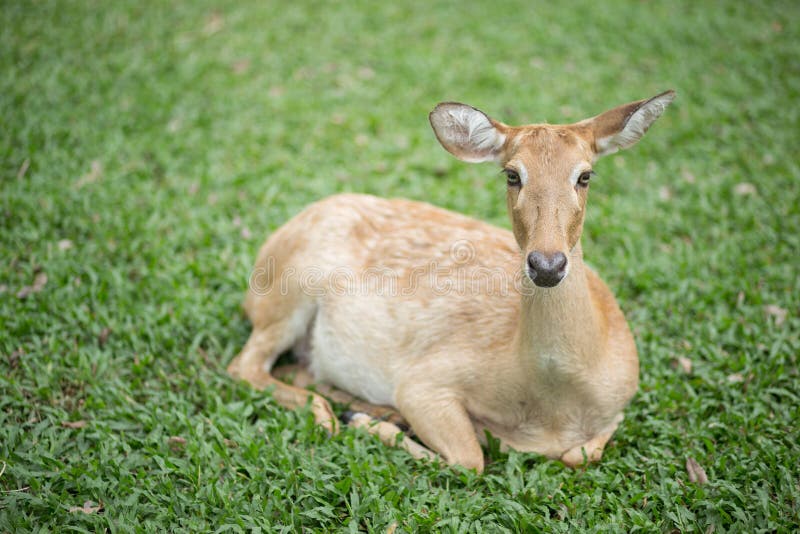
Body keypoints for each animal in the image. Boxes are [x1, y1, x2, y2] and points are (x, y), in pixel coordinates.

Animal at [226, 91, 676, 472]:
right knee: (245, 365)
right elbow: (470, 460)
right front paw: (373, 423)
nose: (547, 264)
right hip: (288, 292)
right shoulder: (426, 379)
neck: (556, 405)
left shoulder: (618, 406)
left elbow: (582, 454)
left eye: (585, 175)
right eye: (512, 174)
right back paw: (350, 415)